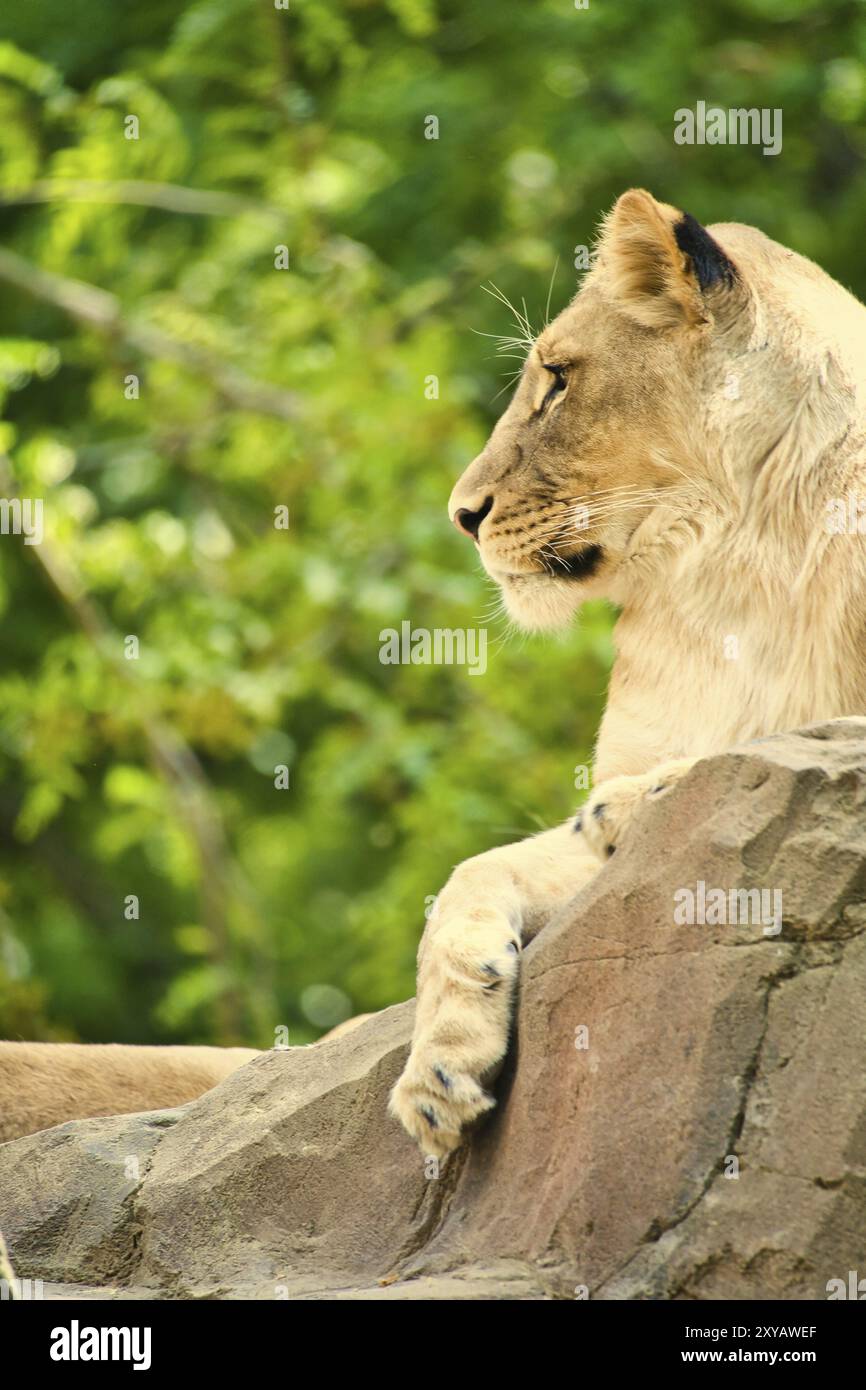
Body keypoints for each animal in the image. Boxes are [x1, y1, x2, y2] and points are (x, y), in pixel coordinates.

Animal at [389, 187, 866, 1157]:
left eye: (558, 378)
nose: (461, 514)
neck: (737, 568)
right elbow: (470, 874)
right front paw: (438, 1070)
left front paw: (643, 798)